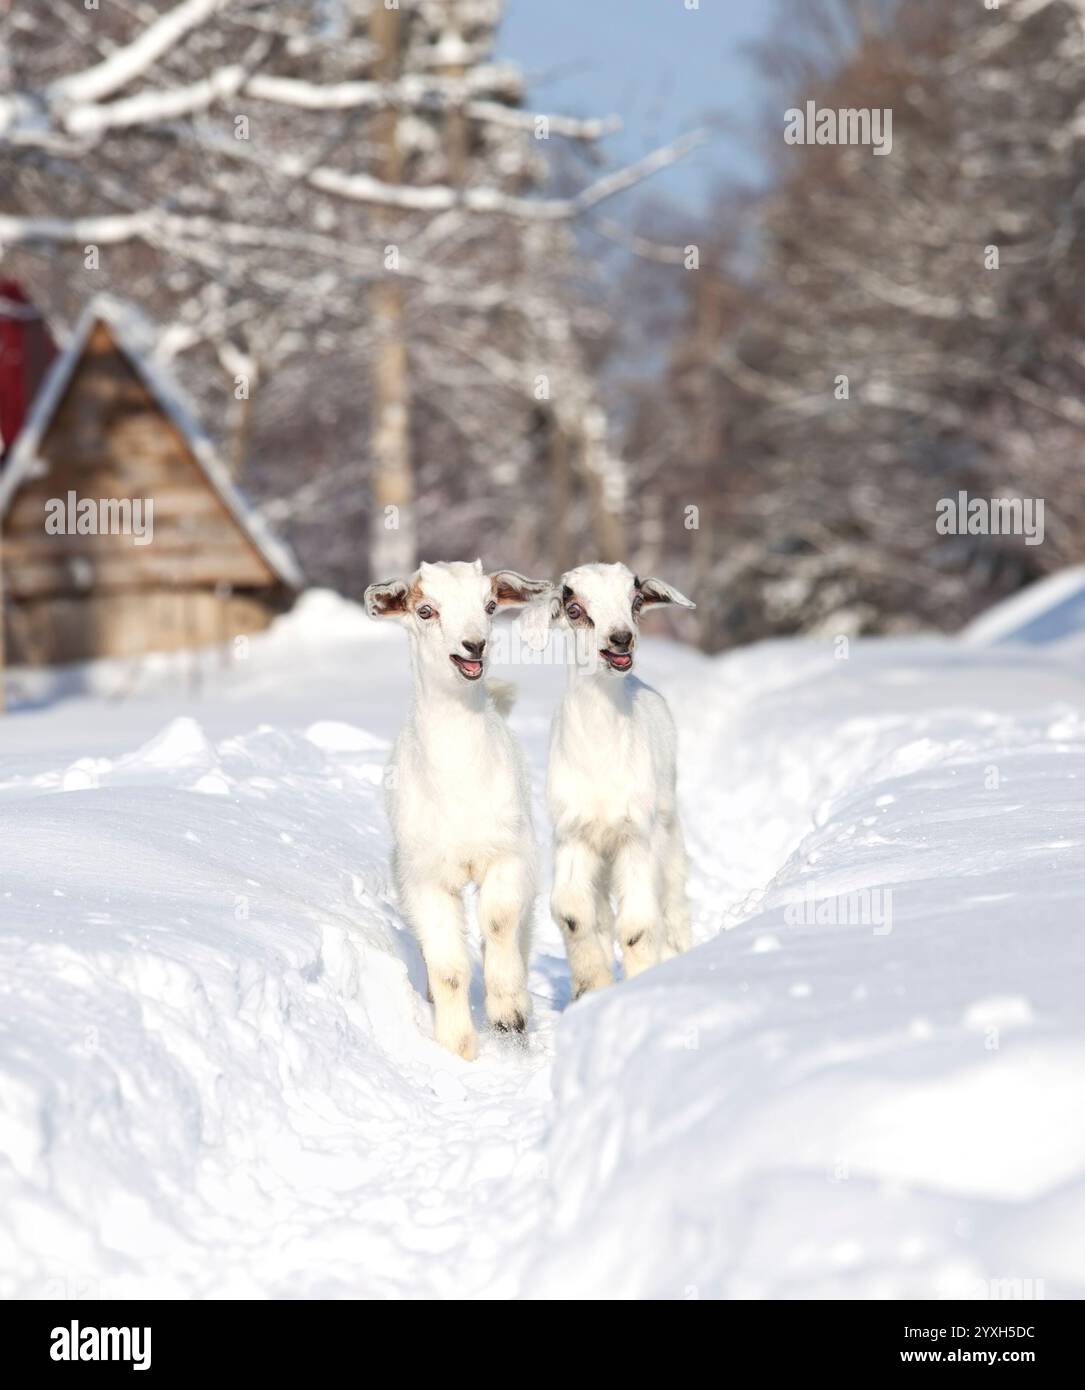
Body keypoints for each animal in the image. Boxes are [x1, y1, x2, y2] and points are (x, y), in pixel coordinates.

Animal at [365, 559, 550, 1060]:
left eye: (489, 606)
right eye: (425, 610)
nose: (474, 645)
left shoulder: (509, 854)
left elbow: (499, 922)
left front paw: (508, 1017)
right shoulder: (426, 876)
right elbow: (448, 967)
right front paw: (458, 1047)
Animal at [536, 562, 696, 998]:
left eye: (636, 601)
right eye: (574, 609)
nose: (621, 640)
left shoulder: (636, 834)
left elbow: (639, 925)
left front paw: (640, 982)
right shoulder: (573, 833)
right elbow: (572, 912)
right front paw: (592, 987)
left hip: (668, 828)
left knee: (673, 902)